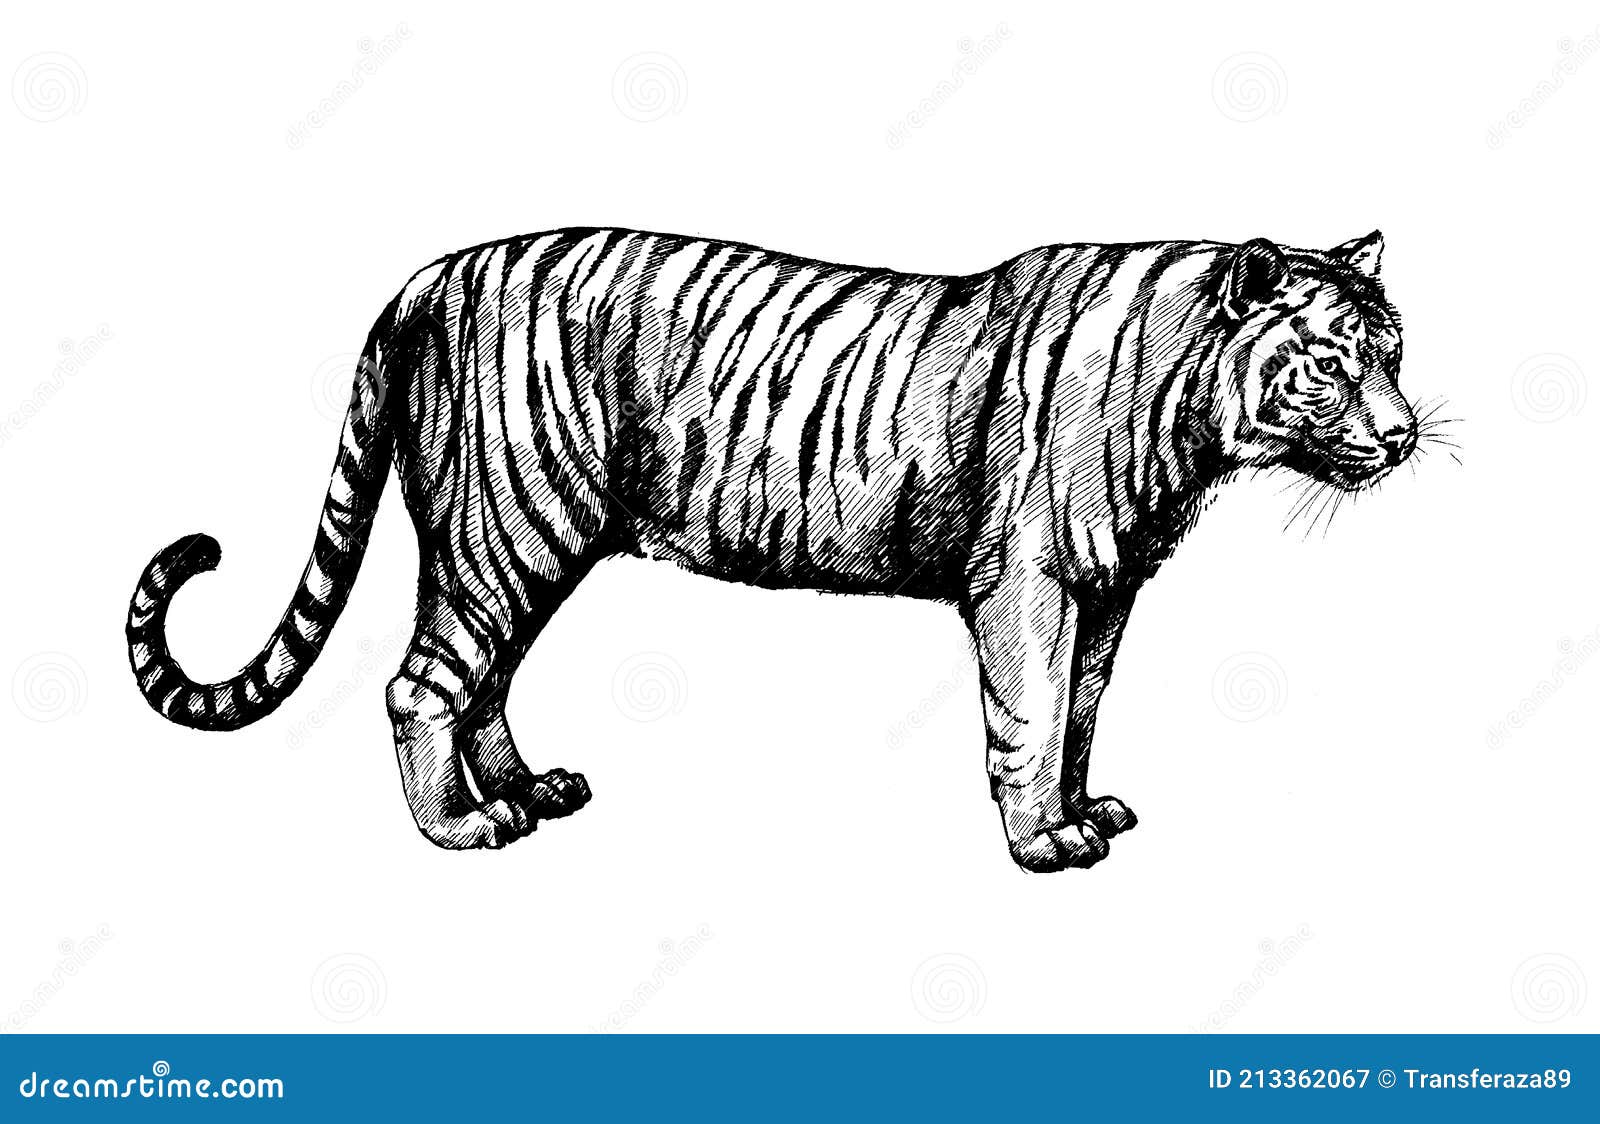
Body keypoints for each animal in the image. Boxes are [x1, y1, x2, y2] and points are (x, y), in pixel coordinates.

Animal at [126, 226, 1416, 872]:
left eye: (1394, 348)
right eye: (1331, 359)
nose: (1406, 433)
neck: (1183, 416)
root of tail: (431, 273)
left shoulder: (1106, 591)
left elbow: (1084, 711)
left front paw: (1083, 806)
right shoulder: (1030, 584)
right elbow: (1031, 715)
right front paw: (1041, 839)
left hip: (515, 543)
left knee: (481, 679)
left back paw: (528, 791)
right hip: (509, 527)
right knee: (421, 684)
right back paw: (460, 829)